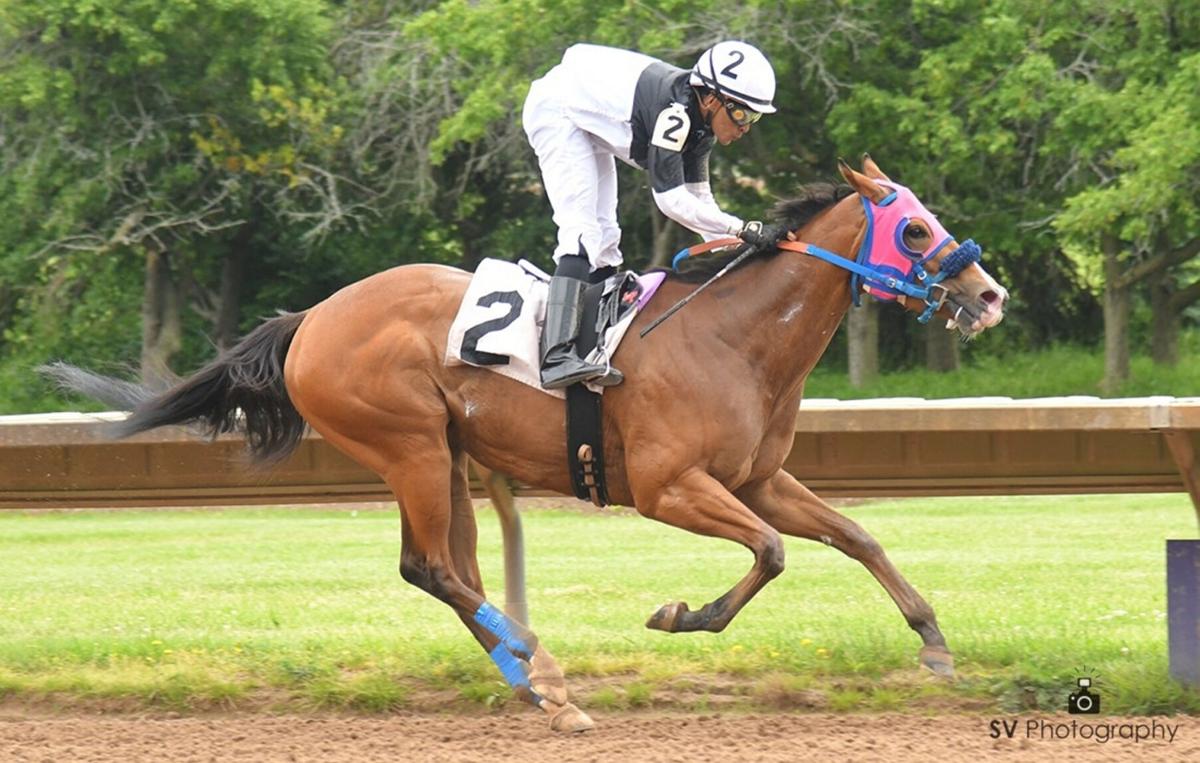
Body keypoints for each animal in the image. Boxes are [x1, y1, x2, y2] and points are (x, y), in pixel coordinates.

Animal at [45, 157, 1007, 732]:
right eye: (915, 229)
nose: (989, 294)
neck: (733, 338)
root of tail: (310, 318)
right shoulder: (669, 485)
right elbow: (771, 552)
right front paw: (681, 613)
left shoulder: (758, 476)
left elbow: (855, 535)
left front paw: (933, 640)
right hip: (408, 445)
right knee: (430, 568)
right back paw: (540, 675)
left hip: (447, 455)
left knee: (455, 569)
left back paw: (536, 675)